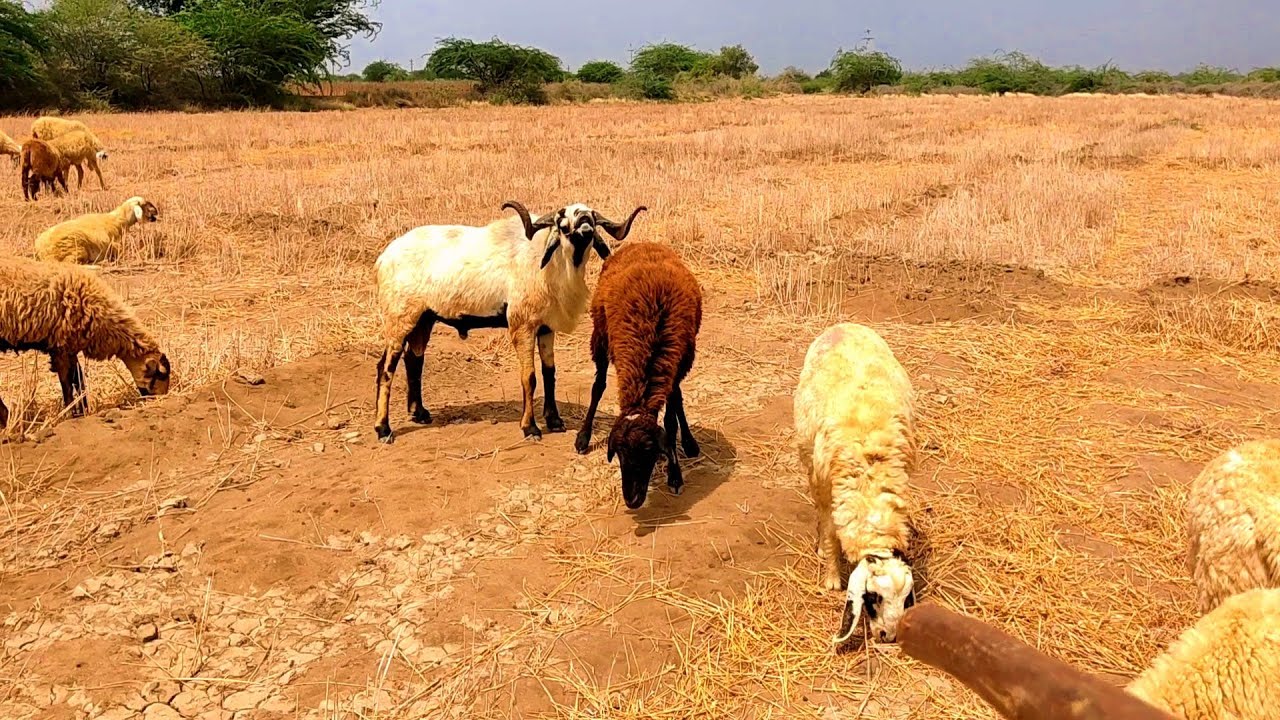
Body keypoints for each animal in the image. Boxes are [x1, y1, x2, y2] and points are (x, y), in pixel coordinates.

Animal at [0, 255, 172, 419]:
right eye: (159, 376)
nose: (160, 398)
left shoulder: (69, 347)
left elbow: (78, 378)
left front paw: (83, 409)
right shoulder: (61, 346)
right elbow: (68, 383)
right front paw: (73, 413)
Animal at [372, 200, 646, 444]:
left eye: (592, 217)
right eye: (563, 223)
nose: (586, 226)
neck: (552, 263)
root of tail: (384, 258)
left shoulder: (545, 327)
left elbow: (549, 373)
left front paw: (555, 421)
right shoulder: (522, 325)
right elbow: (530, 376)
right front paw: (531, 428)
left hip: (423, 320)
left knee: (414, 360)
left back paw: (419, 414)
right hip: (399, 317)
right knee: (386, 368)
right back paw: (383, 429)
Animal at [573, 243, 702, 509]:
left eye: (649, 452)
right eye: (619, 453)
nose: (632, 500)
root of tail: (643, 243)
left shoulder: (675, 367)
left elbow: (671, 420)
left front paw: (675, 474)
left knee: (678, 399)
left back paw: (689, 442)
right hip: (600, 337)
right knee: (598, 386)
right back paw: (583, 436)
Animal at [793, 322, 917, 646]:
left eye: (904, 598)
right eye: (873, 598)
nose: (888, 635)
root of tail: (842, 324)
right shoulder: (826, 490)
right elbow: (829, 531)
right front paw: (832, 576)